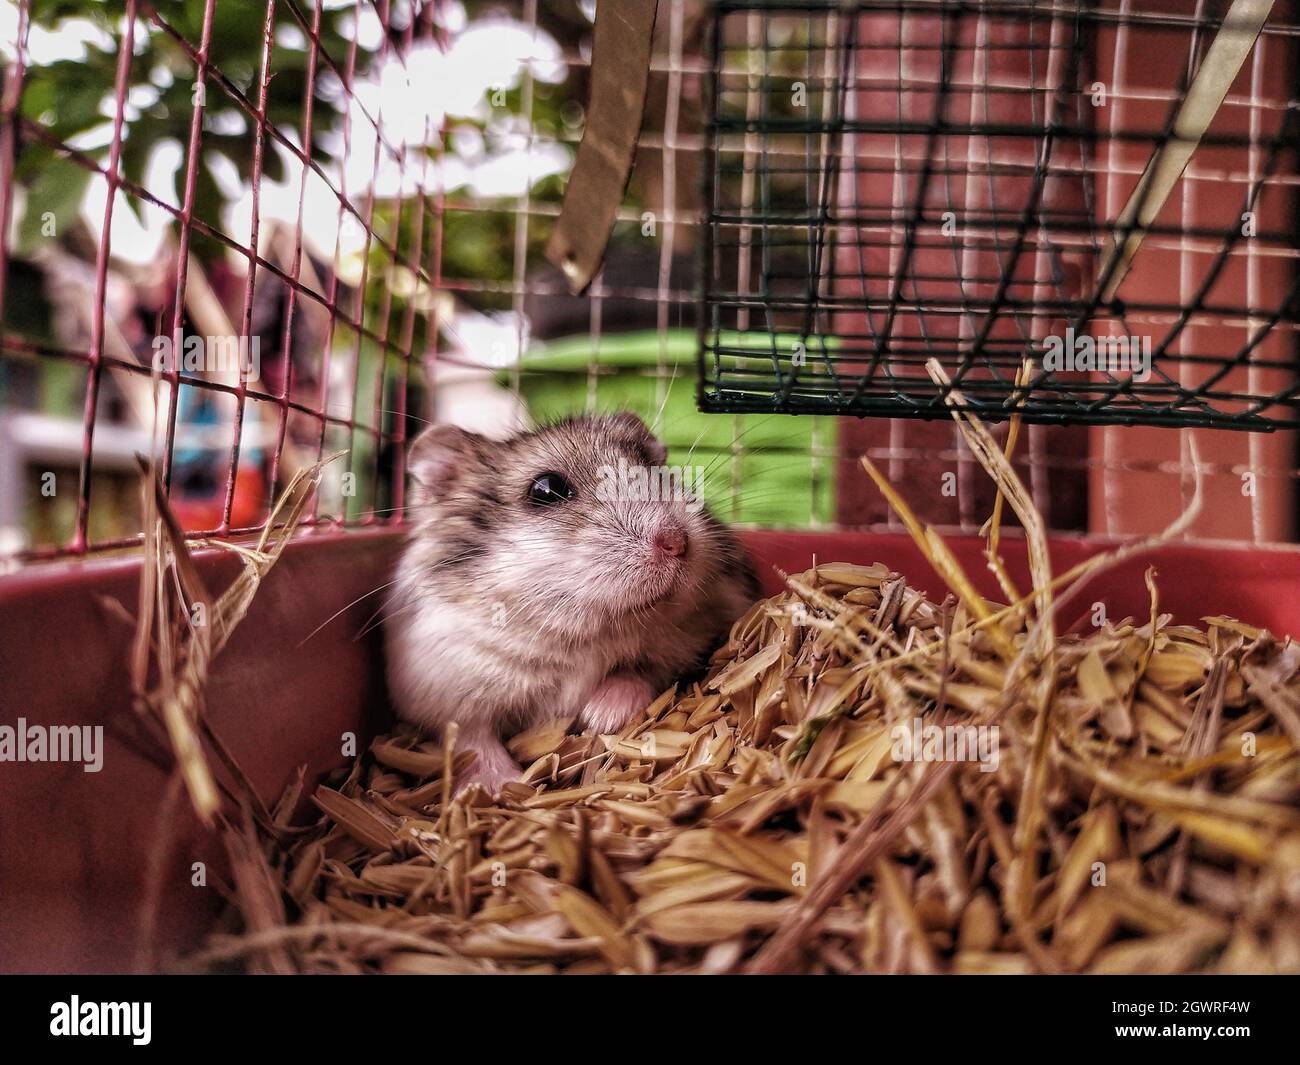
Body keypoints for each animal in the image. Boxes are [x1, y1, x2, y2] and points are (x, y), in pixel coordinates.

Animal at [384, 412, 761, 796]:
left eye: (657, 469)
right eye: (546, 488)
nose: (677, 542)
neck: (584, 630)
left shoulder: (688, 642)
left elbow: (639, 670)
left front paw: (601, 715)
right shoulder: (443, 689)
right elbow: (471, 739)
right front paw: (500, 786)